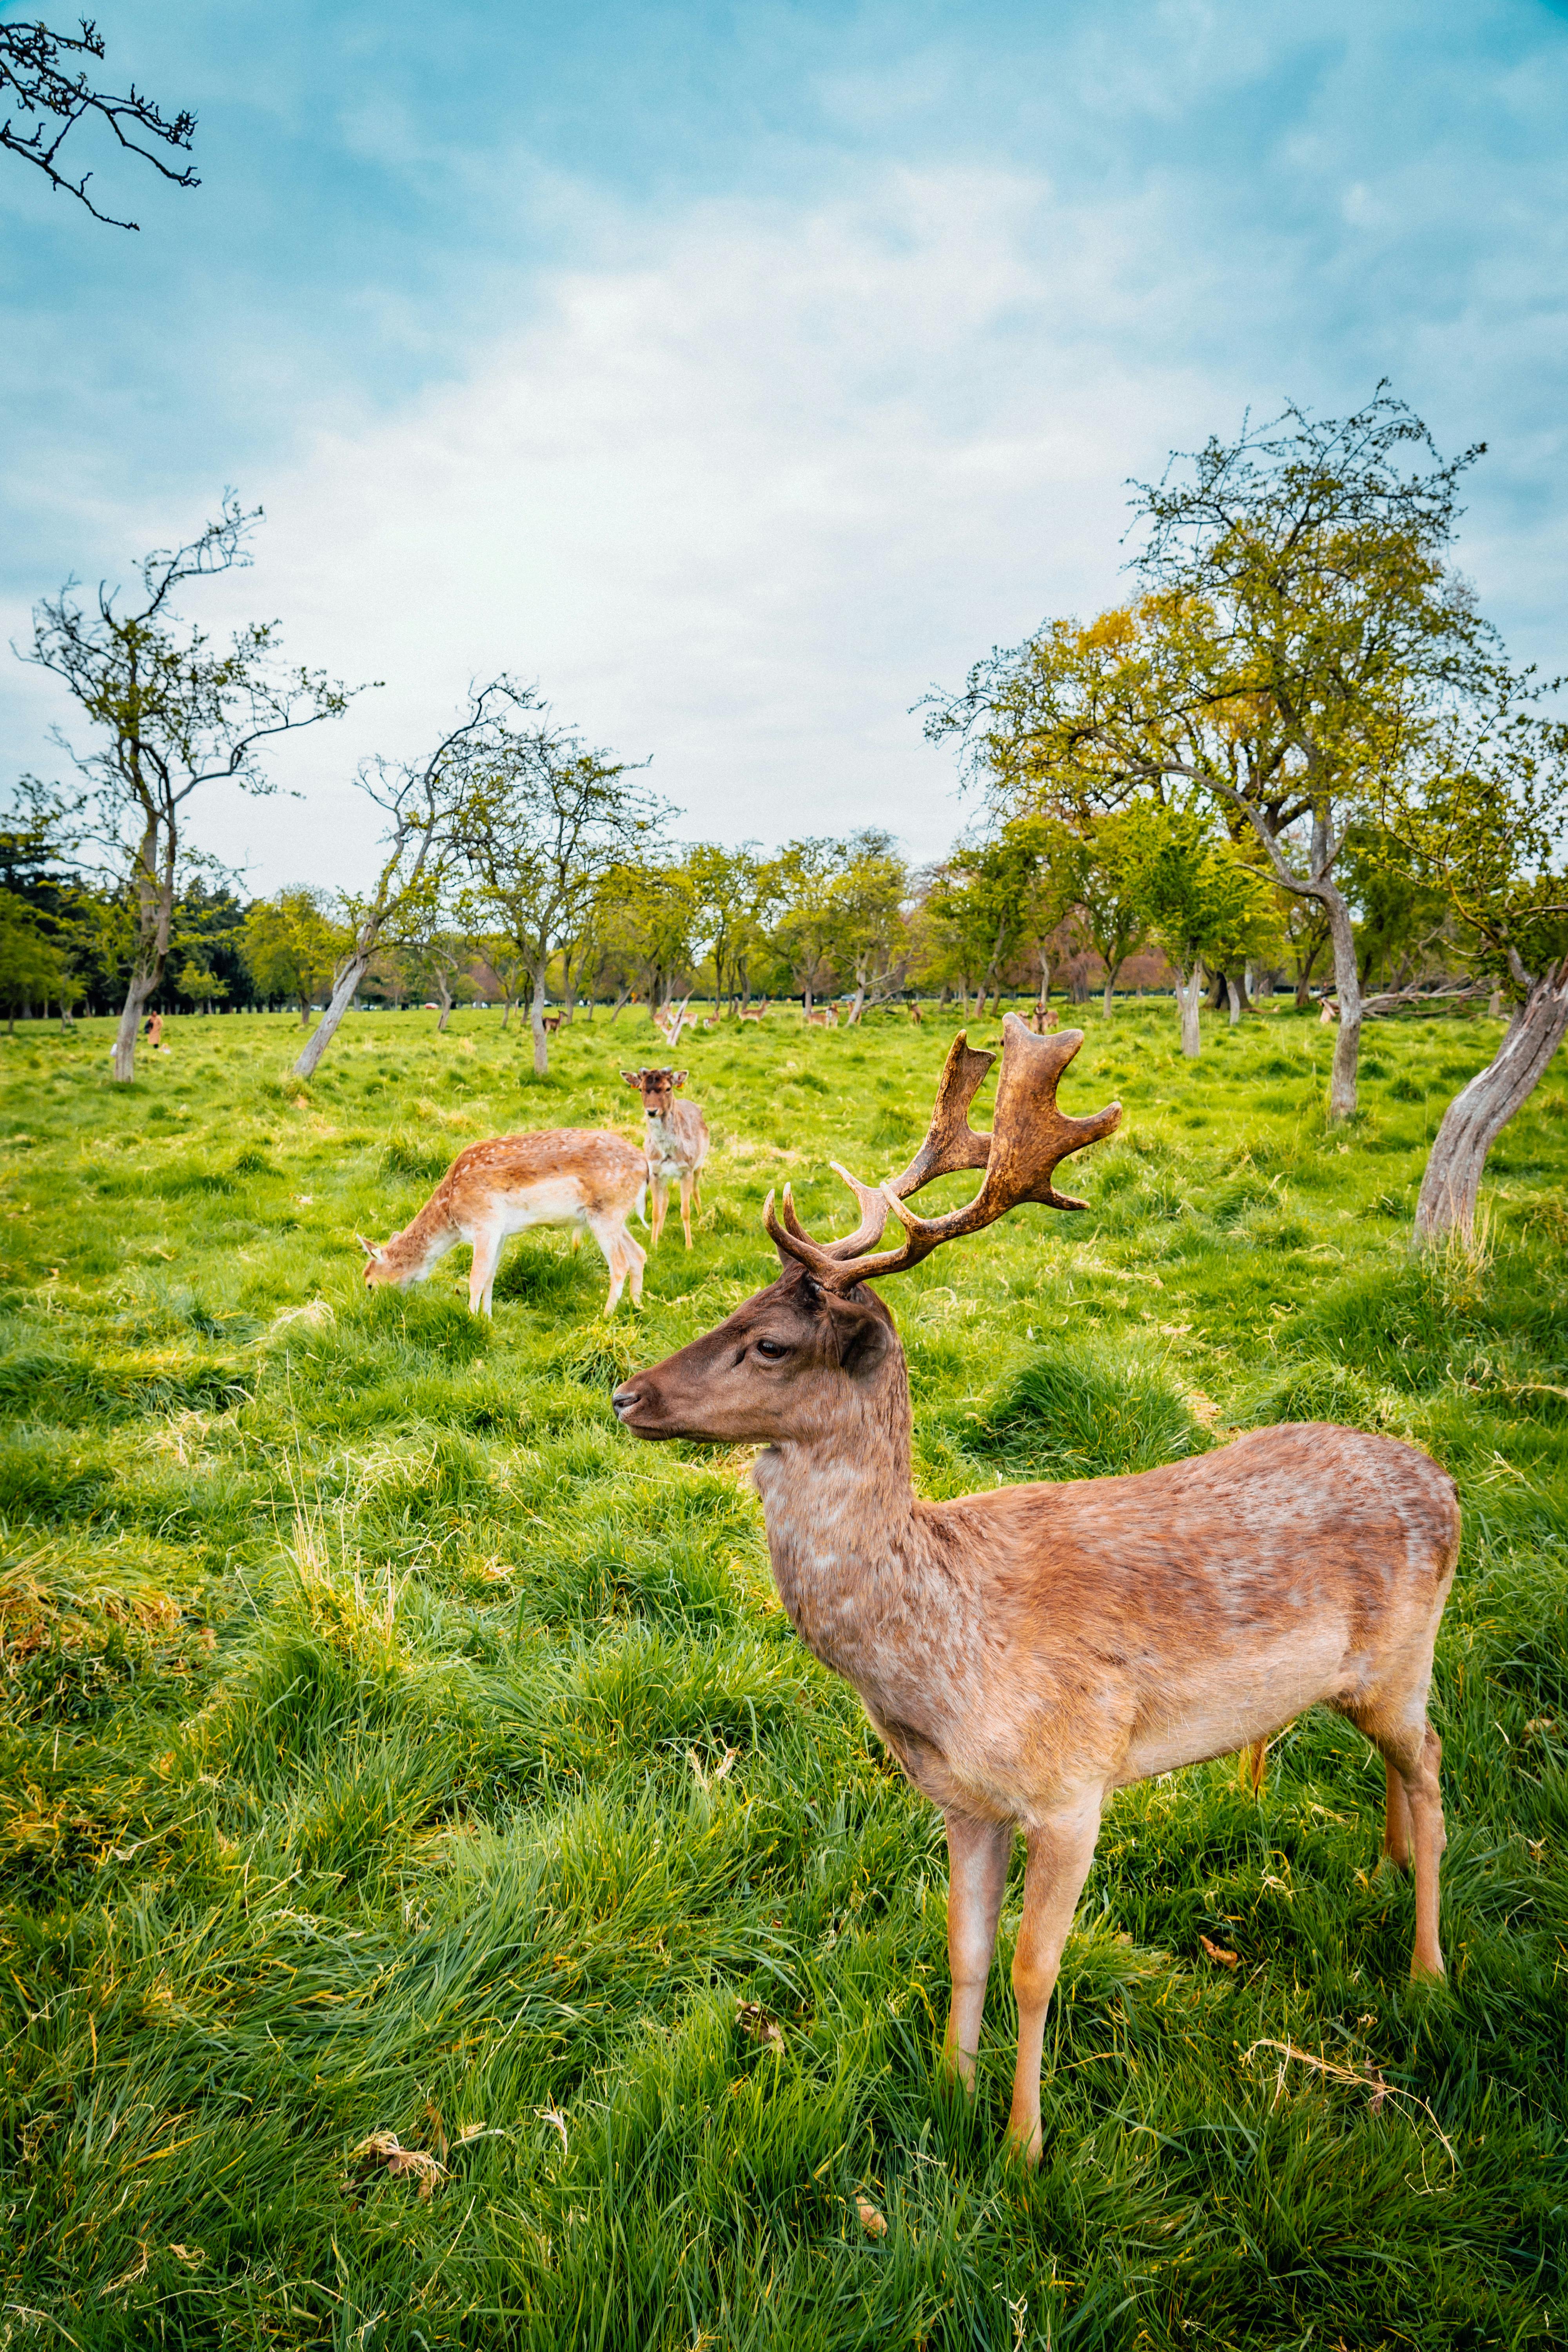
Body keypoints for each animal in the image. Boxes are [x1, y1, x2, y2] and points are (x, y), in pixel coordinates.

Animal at [359, 1131, 647, 1316]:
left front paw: (471, 1320)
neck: (452, 1212)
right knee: (639, 1253)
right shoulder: (500, 1232)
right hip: (611, 1214)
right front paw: (487, 1319)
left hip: (606, 1213)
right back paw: (637, 1306)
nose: (375, 1311)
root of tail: (646, 1166)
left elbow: (476, 1278)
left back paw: (606, 1316)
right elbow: (491, 1276)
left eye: (370, 1284)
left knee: (620, 1264)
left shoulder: (484, 1224)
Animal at [622, 1066, 710, 1249]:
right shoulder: (655, 1172)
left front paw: (689, 1246)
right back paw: (661, 1232)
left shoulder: (686, 1170)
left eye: (668, 1088)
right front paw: (653, 1244)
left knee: (695, 1189)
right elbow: (655, 1211)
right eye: (641, 1089)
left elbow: (685, 1211)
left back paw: (701, 1216)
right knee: (667, 1197)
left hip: (700, 1163)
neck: (668, 1153)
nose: (652, 1111)